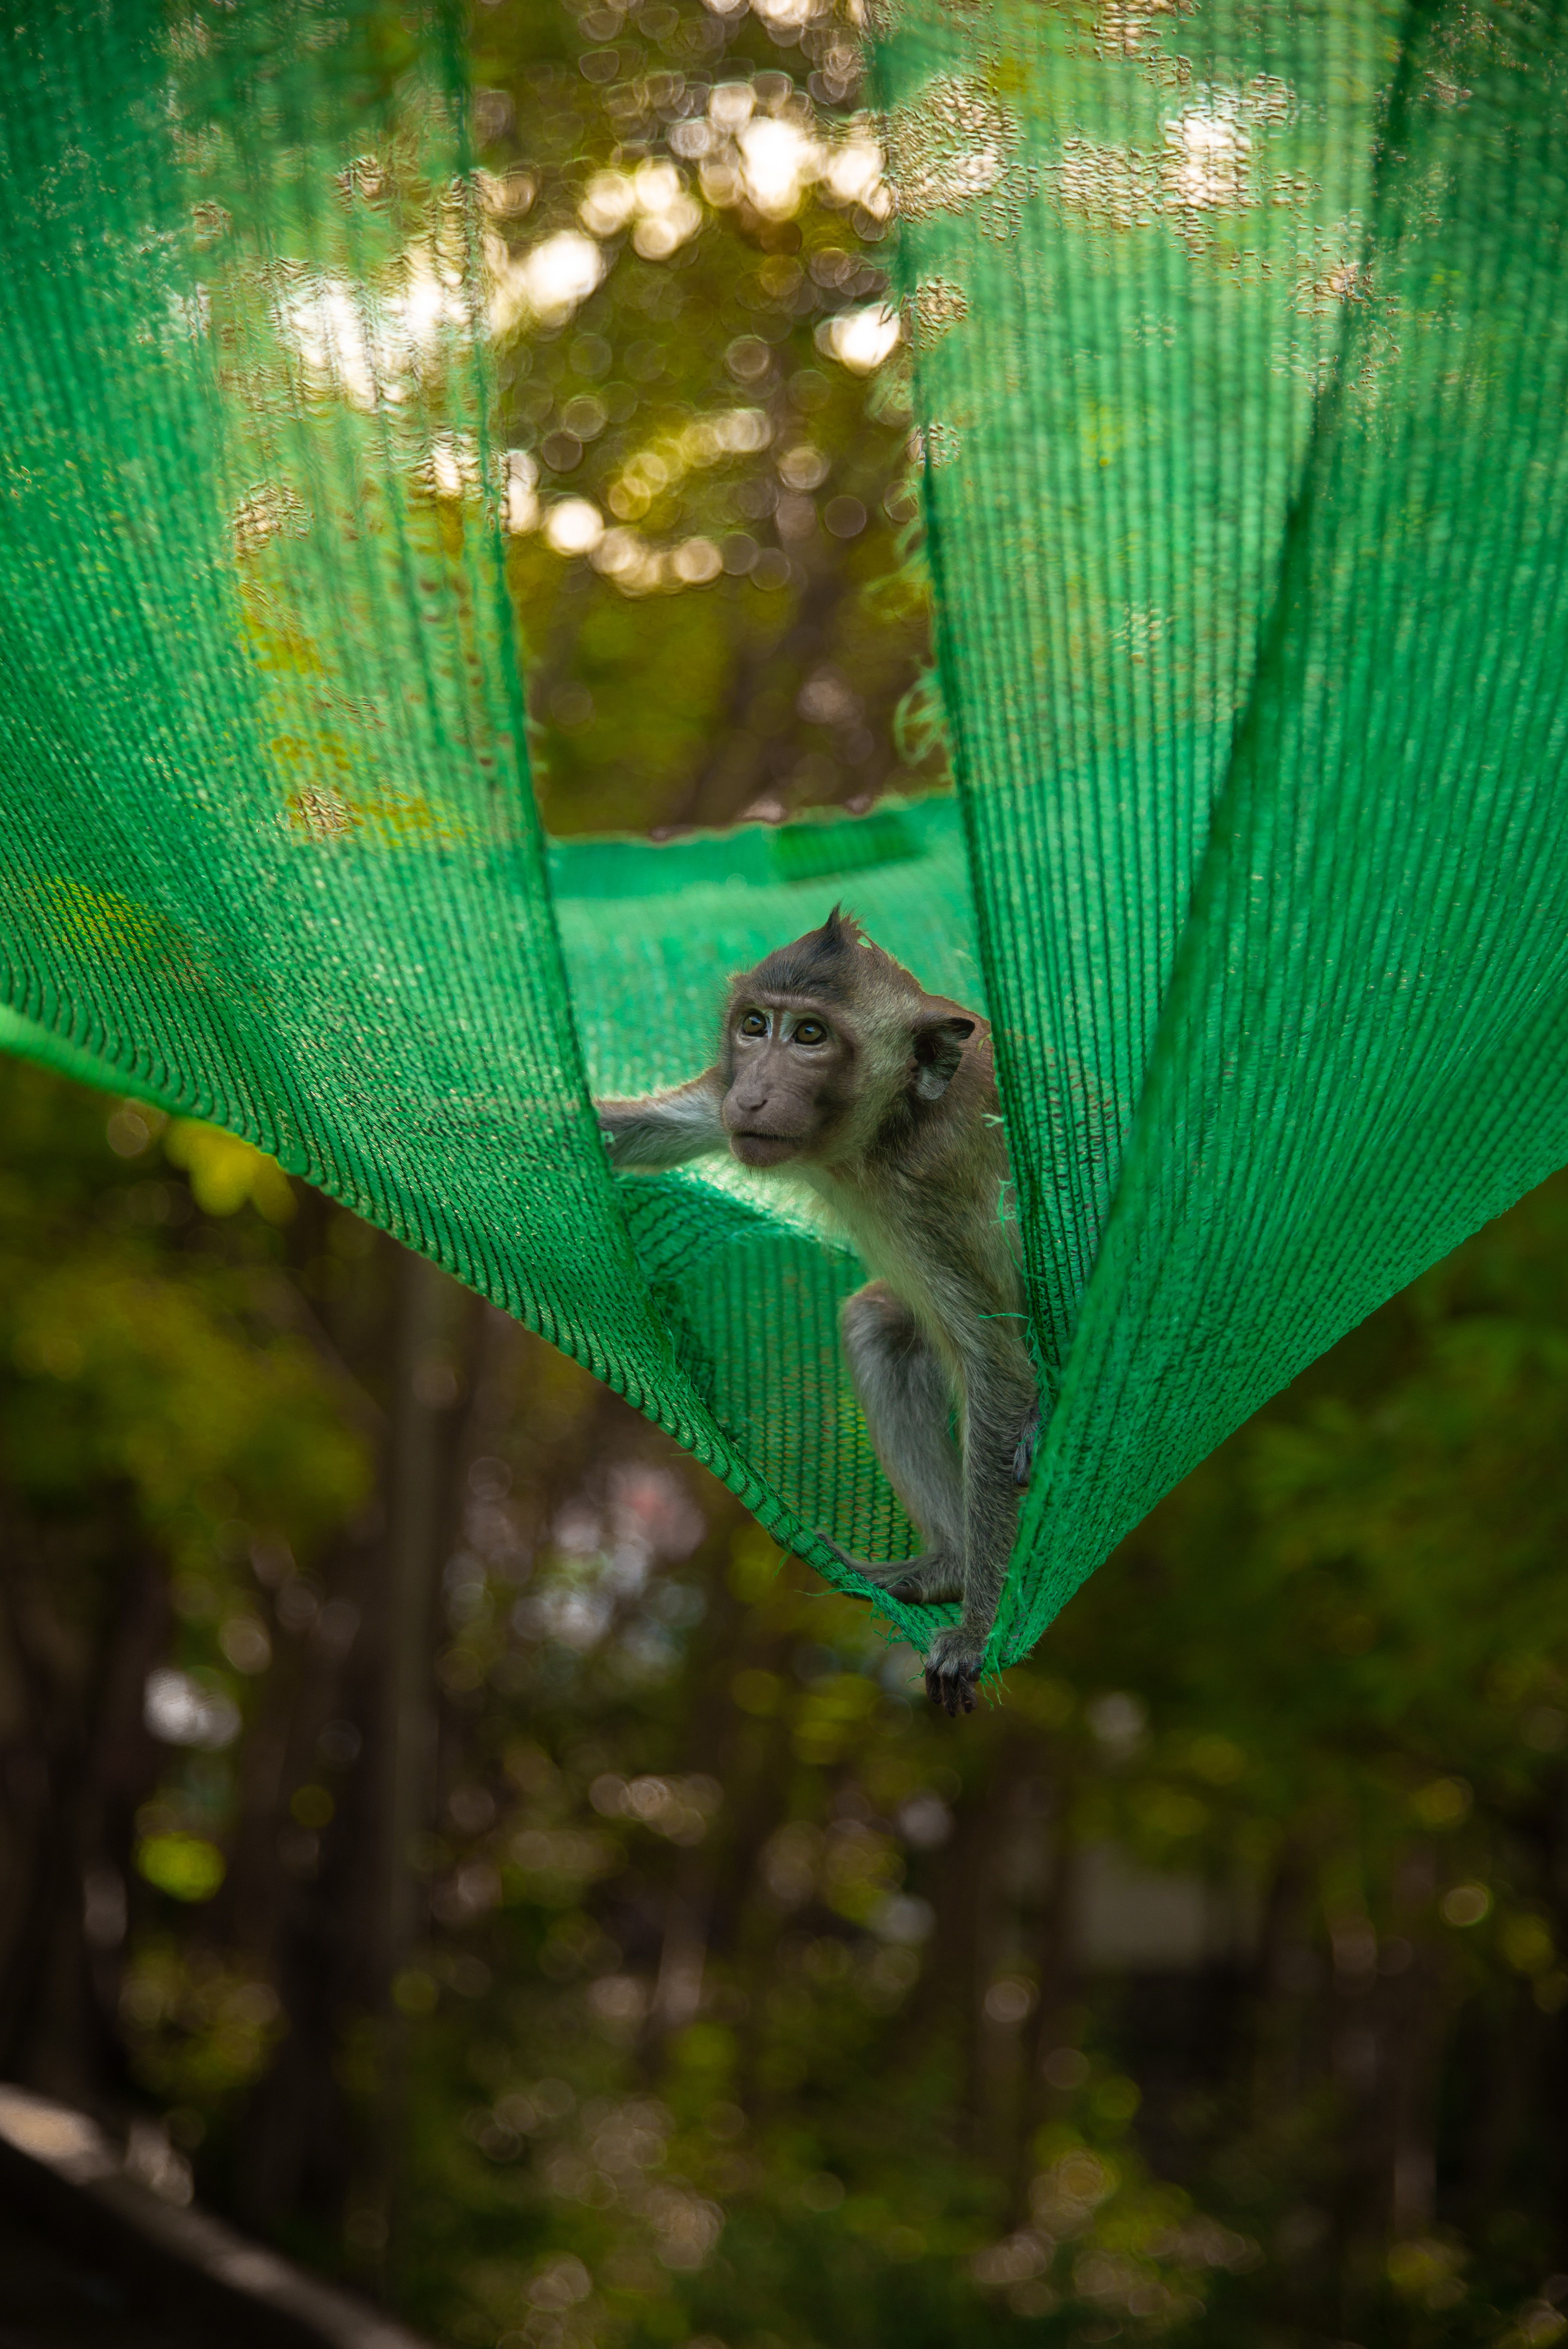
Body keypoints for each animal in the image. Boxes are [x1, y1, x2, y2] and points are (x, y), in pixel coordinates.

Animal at [593, 908, 1038, 1717]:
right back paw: (946, 1569)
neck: (882, 1130)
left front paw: (980, 1627)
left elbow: (996, 1365)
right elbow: (638, 1130)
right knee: (879, 1327)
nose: (755, 1096)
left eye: (810, 1036)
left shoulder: (933, 1187)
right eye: (755, 1025)